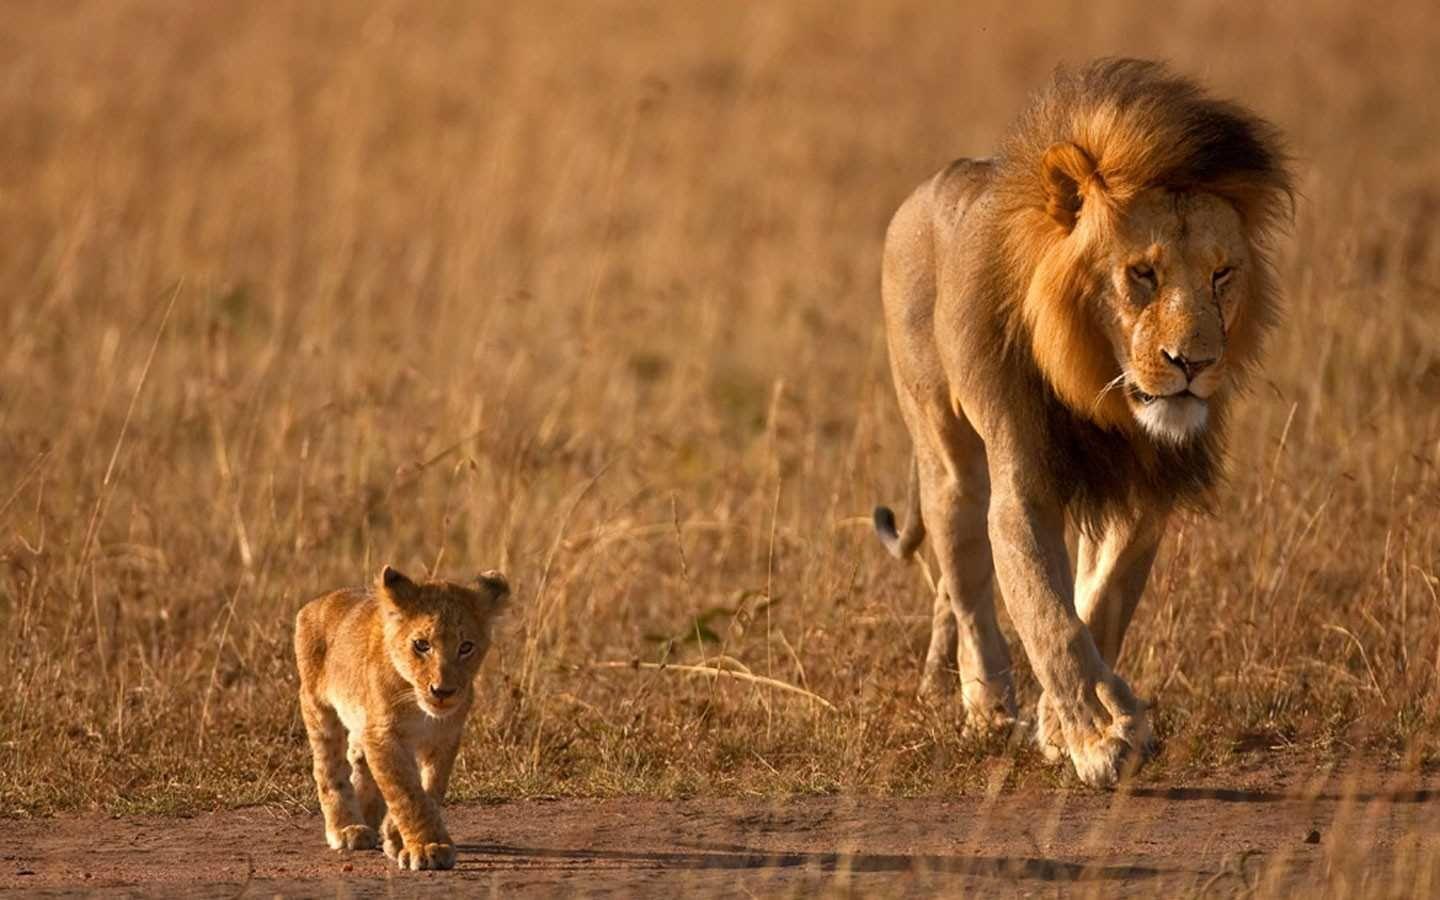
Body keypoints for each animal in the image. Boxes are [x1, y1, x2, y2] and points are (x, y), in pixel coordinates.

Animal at [294, 564, 511, 870]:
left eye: (466, 647)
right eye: (421, 644)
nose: (442, 691)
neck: (420, 708)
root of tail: (320, 601)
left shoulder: (445, 737)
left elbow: (430, 790)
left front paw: (397, 837)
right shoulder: (384, 735)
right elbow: (407, 792)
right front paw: (428, 847)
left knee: (357, 758)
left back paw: (369, 818)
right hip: (317, 706)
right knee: (329, 766)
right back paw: (347, 828)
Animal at [873, 58, 1292, 787]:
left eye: (1222, 274)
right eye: (1142, 274)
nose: (1193, 363)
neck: (1104, 389)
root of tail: (927, 188)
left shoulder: (1144, 495)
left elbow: (1098, 608)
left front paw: (1069, 726)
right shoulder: (1024, 488)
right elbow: (1052, 620)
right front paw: (1099, 741)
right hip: (947, 454)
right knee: (967, 583)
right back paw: (987, 709)